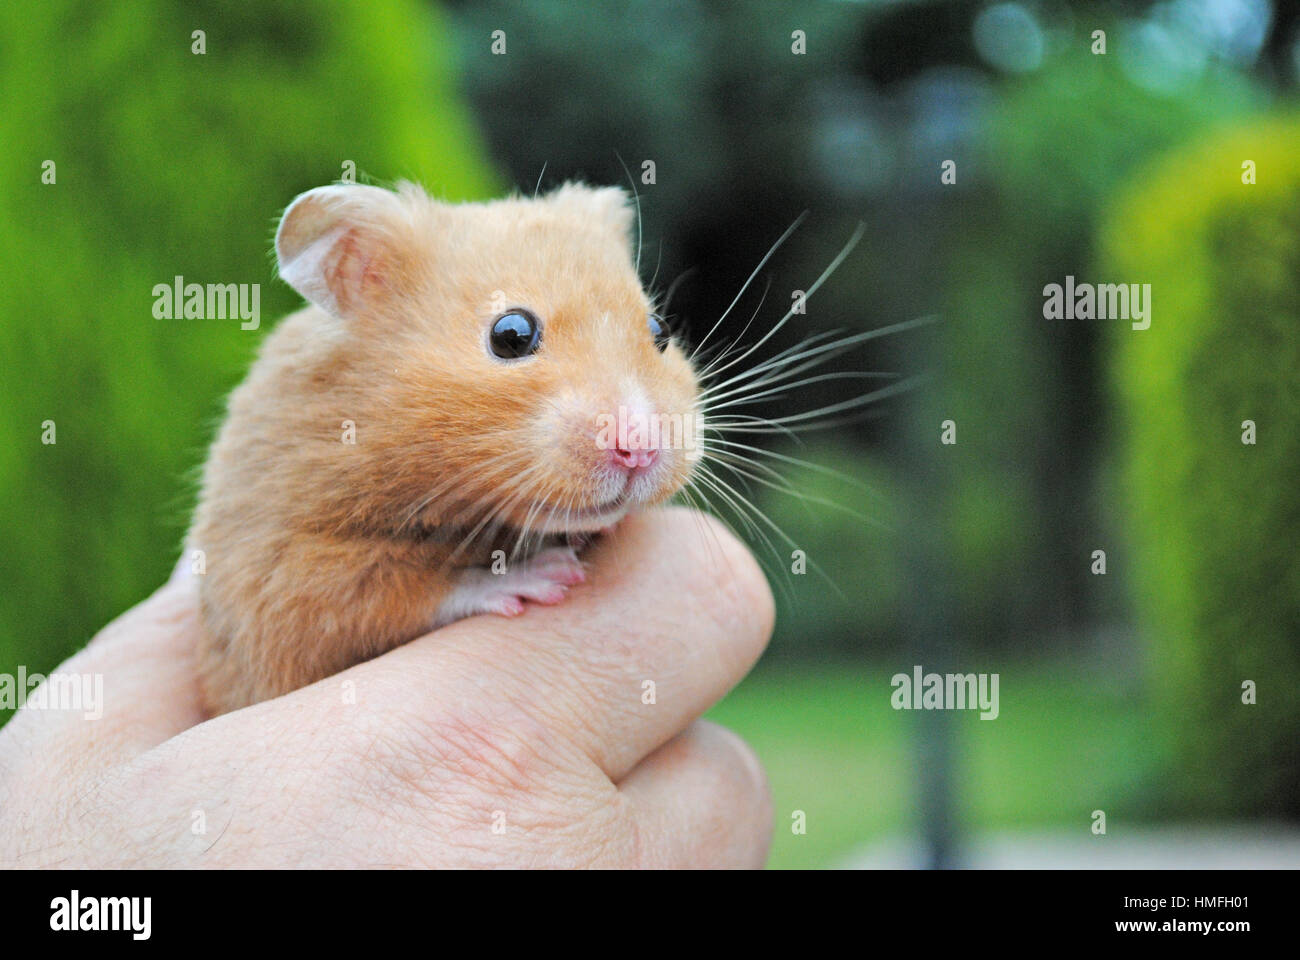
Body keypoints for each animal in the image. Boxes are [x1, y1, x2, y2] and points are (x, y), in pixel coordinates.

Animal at [189, 182, 701, 714]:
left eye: (660, 330)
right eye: (511, 335)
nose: (640, 449)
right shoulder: (274, 574)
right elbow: (399, 590)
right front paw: (549, 576)